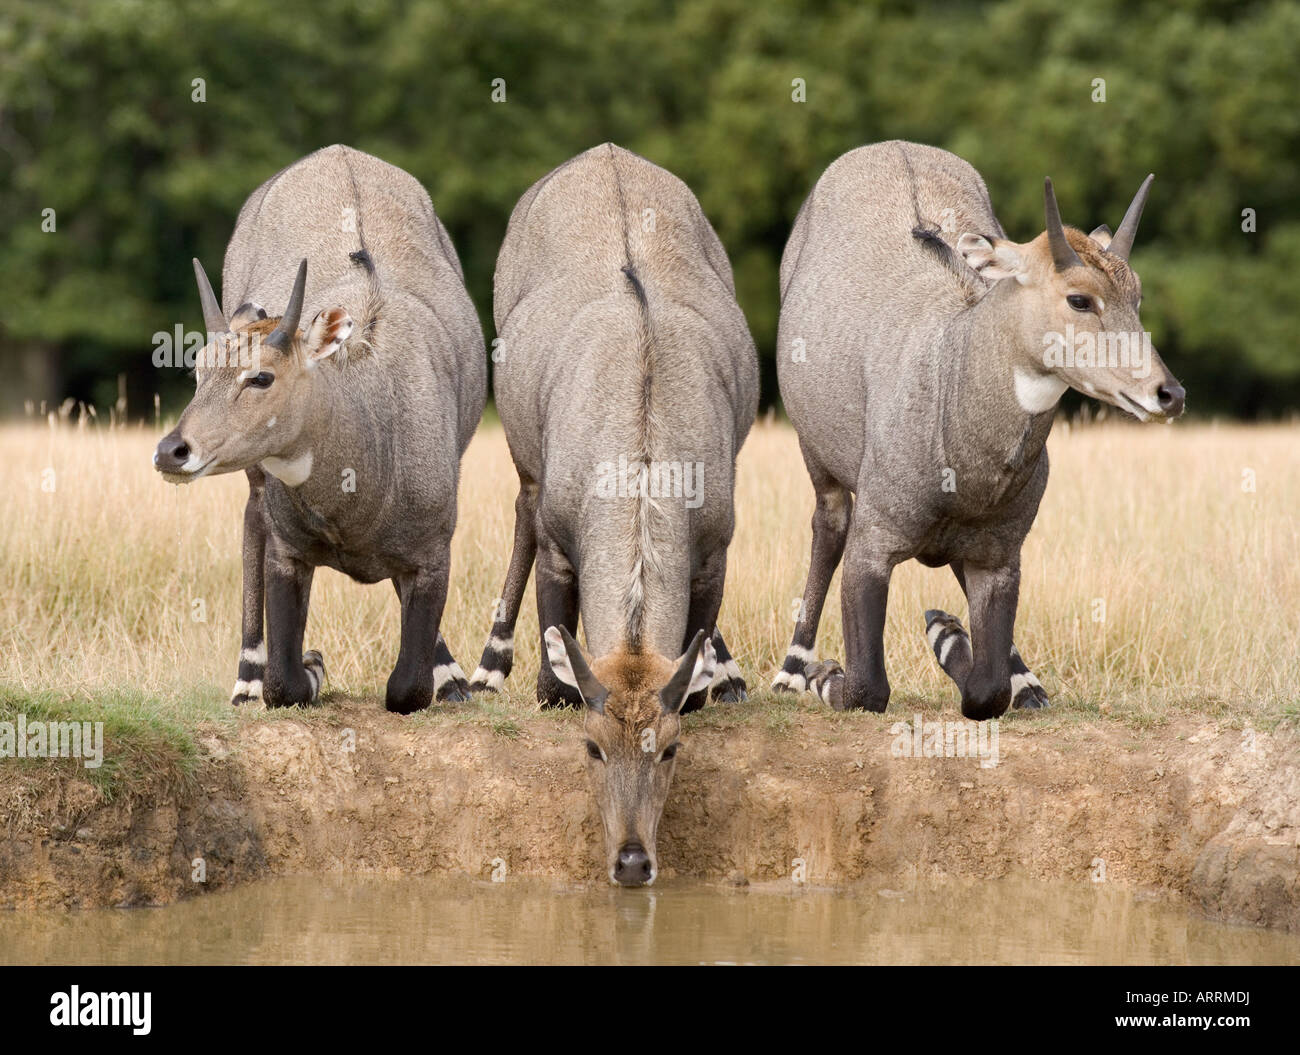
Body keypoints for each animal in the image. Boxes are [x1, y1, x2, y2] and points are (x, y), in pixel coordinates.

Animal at [154, 145, 485, 714]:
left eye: (262, 376)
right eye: (198, 368)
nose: (171, 451)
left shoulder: (434, 555)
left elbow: (407, 686)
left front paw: (446, 680)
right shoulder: (287, 554)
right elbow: (283, 685)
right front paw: (310, 664)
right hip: (257, 488)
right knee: (251, 525)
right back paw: (245, 679)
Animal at [470, 144, 758, 885]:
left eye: (671, 748)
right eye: (593, 747)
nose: (632, 861)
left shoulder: (714, 551)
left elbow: (698, 633)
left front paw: (714, 684)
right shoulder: (558, 540)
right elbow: (555, 626)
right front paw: (548, 687)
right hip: (524, 459)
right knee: (518, 513)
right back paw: (485, 667)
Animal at [774, 141, 1185, 719]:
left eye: (1137, 295)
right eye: (1079, 298)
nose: (1169, 393)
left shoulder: (1000, 557)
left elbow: (987, 690)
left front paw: (952, 638)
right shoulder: (871, 549)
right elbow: (867, 688)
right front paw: (821, 674)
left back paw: (1018, 676)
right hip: (817, 457)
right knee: (827, 526)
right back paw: (791, 670)